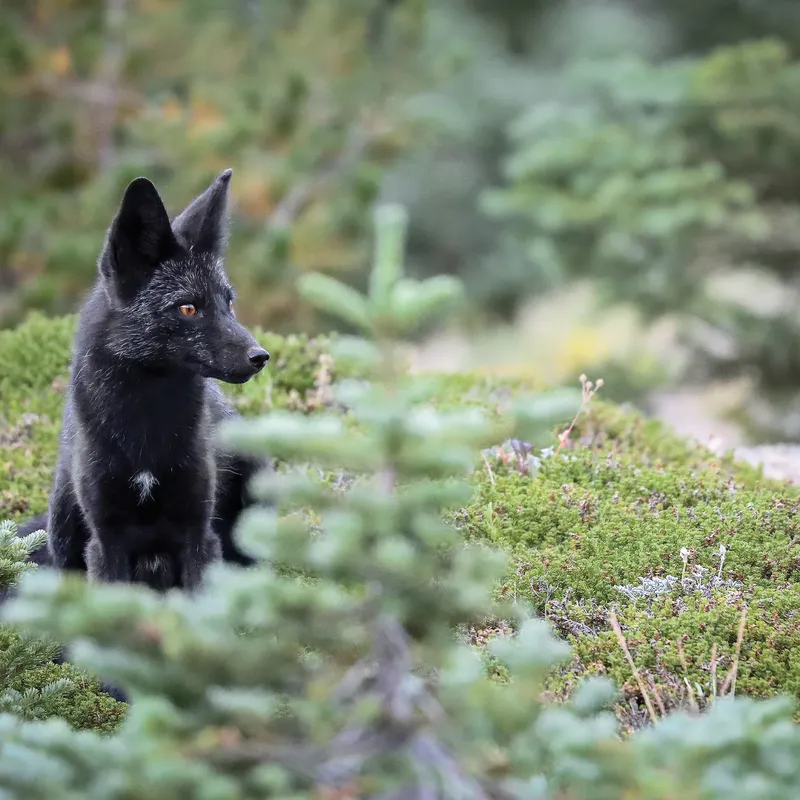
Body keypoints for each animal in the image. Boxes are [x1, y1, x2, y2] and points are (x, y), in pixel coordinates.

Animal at [13, 168, 270, 592]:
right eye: (188, 308)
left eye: (229, 304)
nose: (260, 357)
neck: (146, 434)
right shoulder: (106, 540)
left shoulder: (198, 533)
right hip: (63, 523)